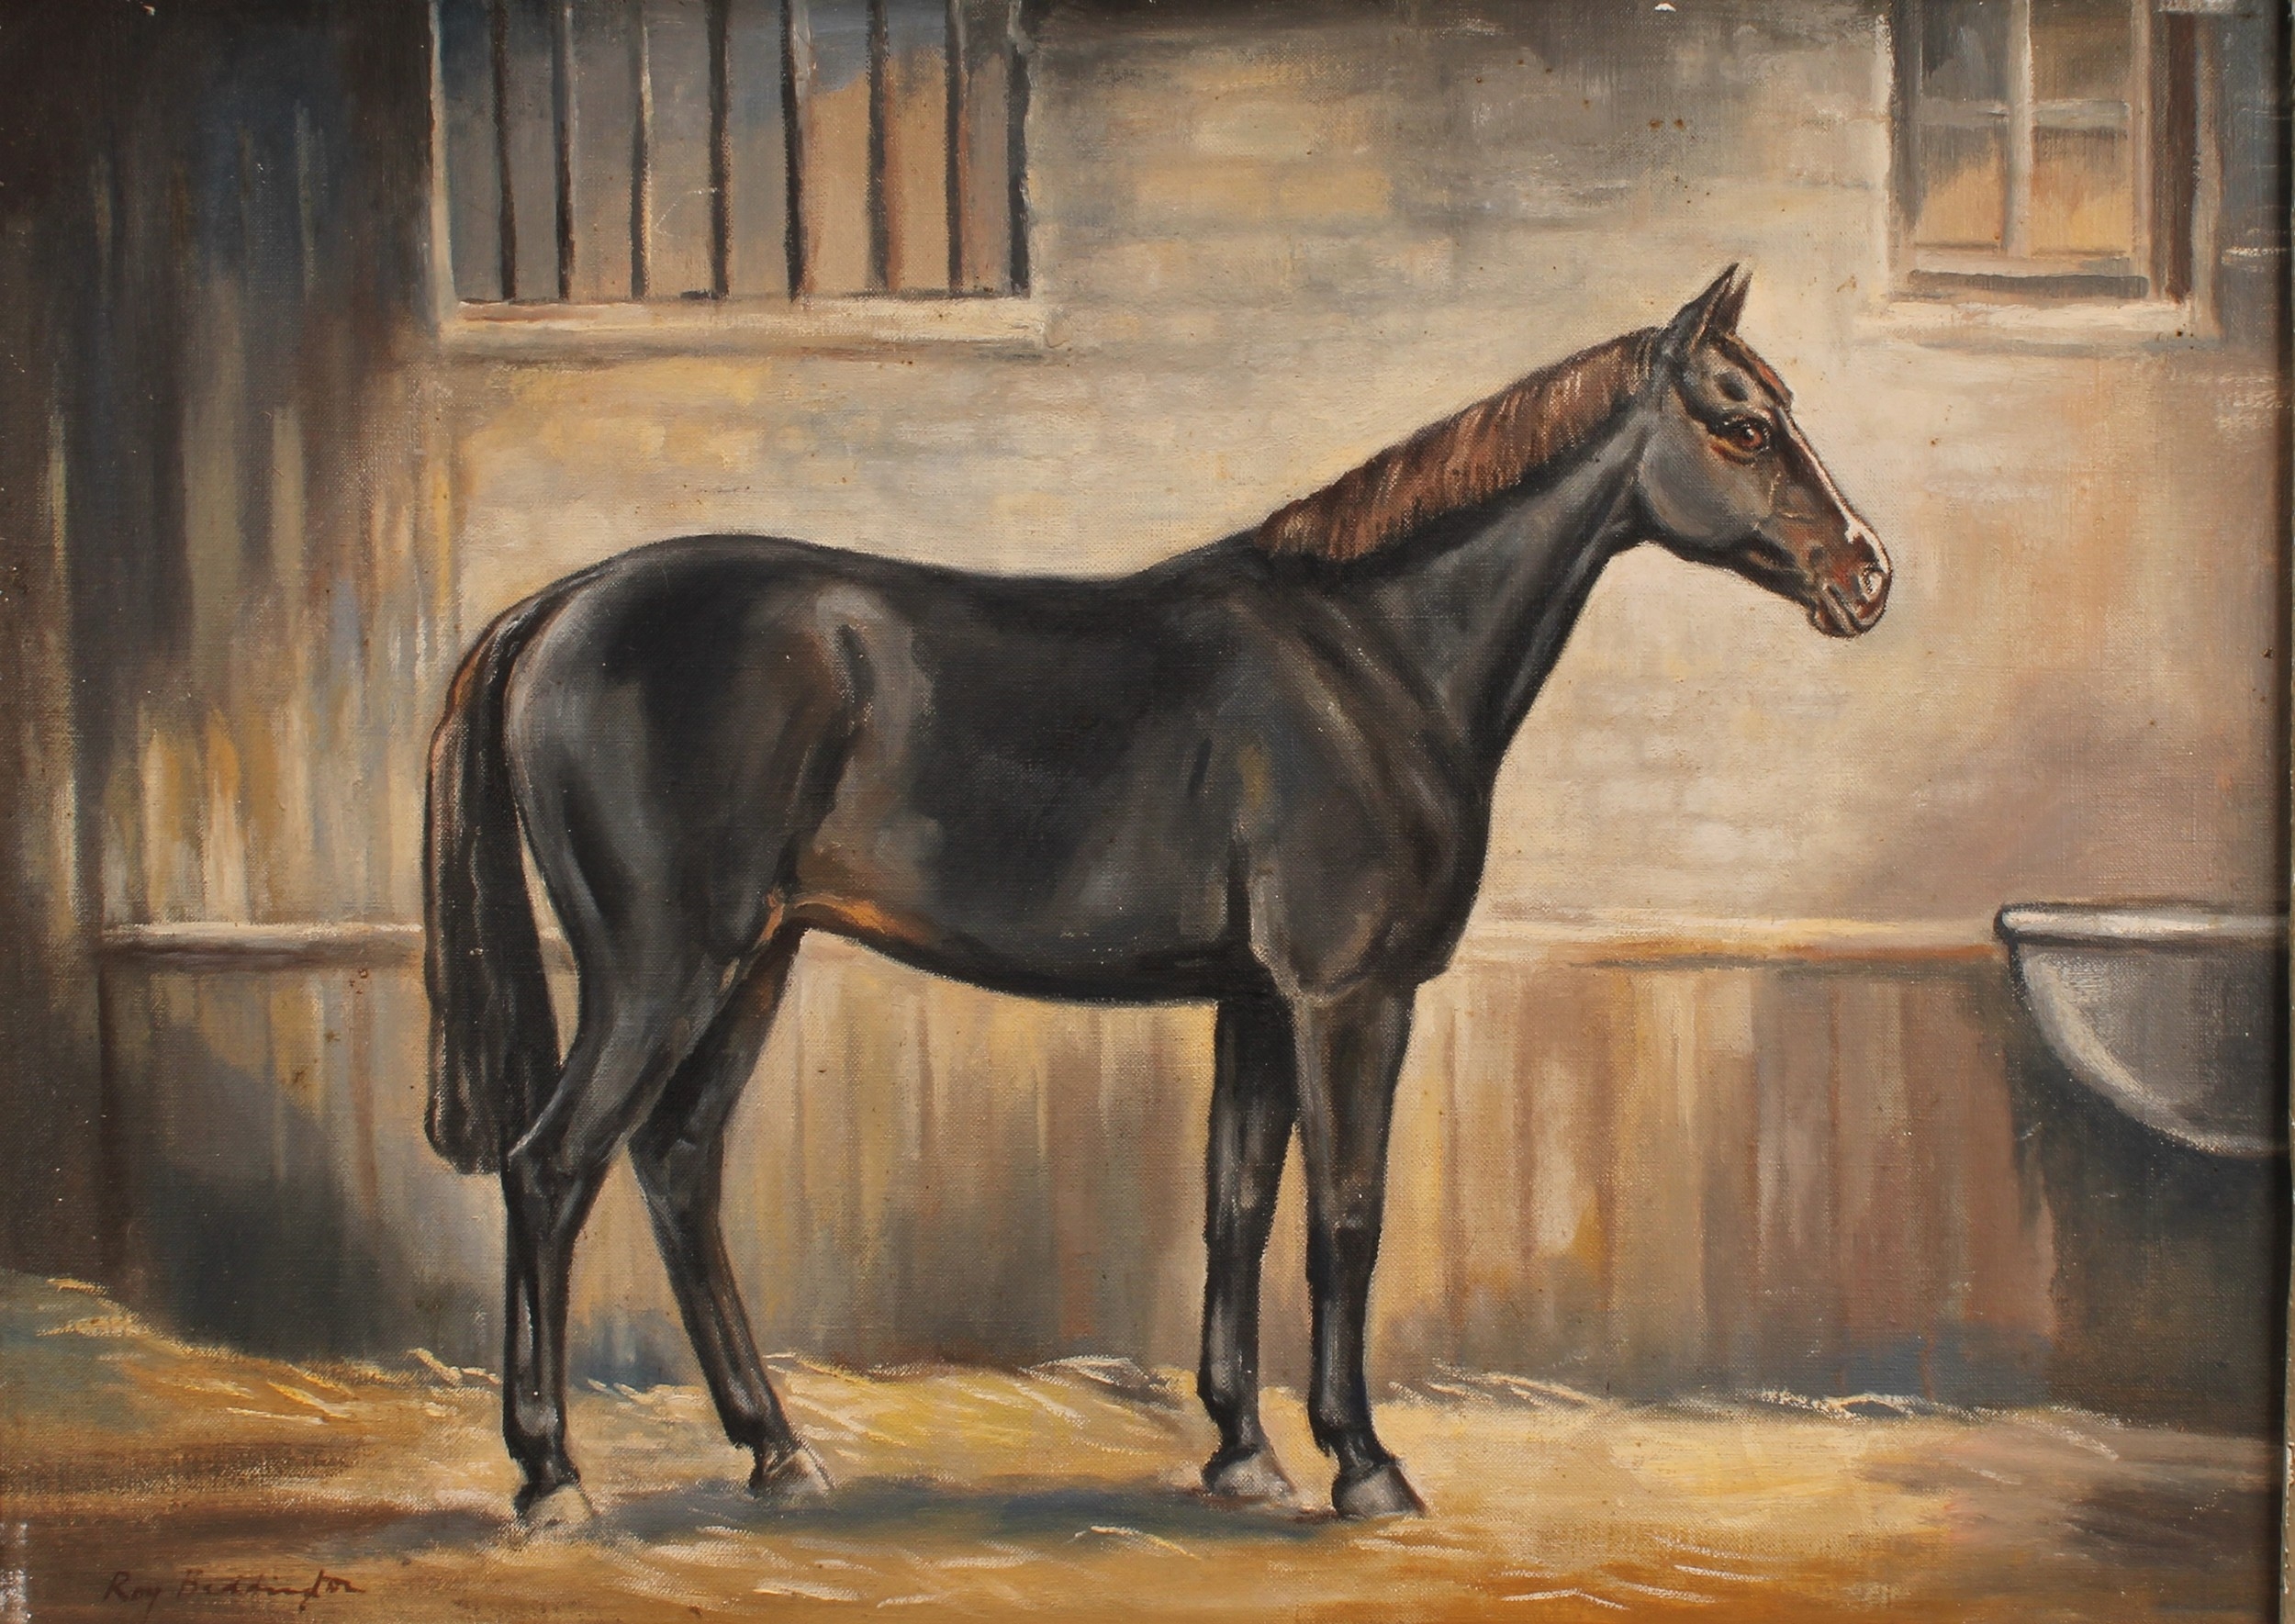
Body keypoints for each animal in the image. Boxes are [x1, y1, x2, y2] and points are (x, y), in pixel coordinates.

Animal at [423, 266, 1890, 1526]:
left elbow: (1235, 1205)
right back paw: (552, 1477)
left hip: (755, 961)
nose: (1867, 573)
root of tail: (554, 610)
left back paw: (778, 1451)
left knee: (677, 1163)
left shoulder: (1255, 999)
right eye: (1743, 422)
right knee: (552, 1168)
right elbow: (1345, 1218)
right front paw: (1364, 1464)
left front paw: (1242, 1451)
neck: (1369, 658)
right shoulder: (1347, 998)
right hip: (663, 969)